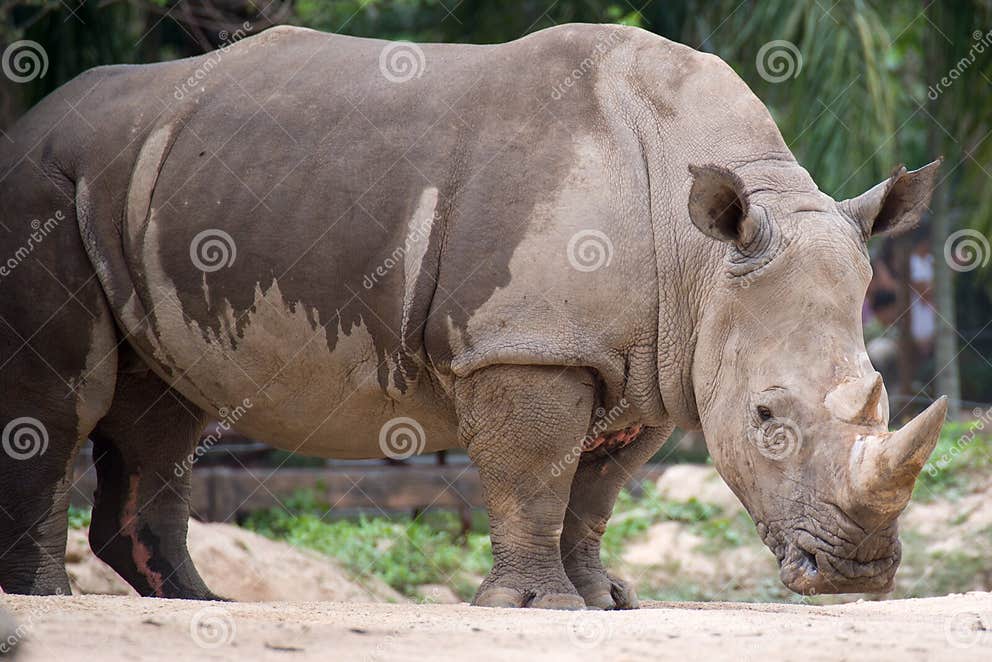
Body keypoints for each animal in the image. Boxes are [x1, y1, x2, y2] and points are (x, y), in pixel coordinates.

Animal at [0, 23, 945, 609]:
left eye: (880, 393)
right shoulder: (527, 343)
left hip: (148, 186)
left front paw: (604, 600)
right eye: (764, 417)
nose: (858, 572)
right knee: (65, 400)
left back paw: (203, 604)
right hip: (43, 183)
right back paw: (52, 597)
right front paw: (534, 605)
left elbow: (594, 490)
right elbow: (534, 474)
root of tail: (27, 125)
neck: (703, 261)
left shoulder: (653, 357)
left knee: (165, 409)